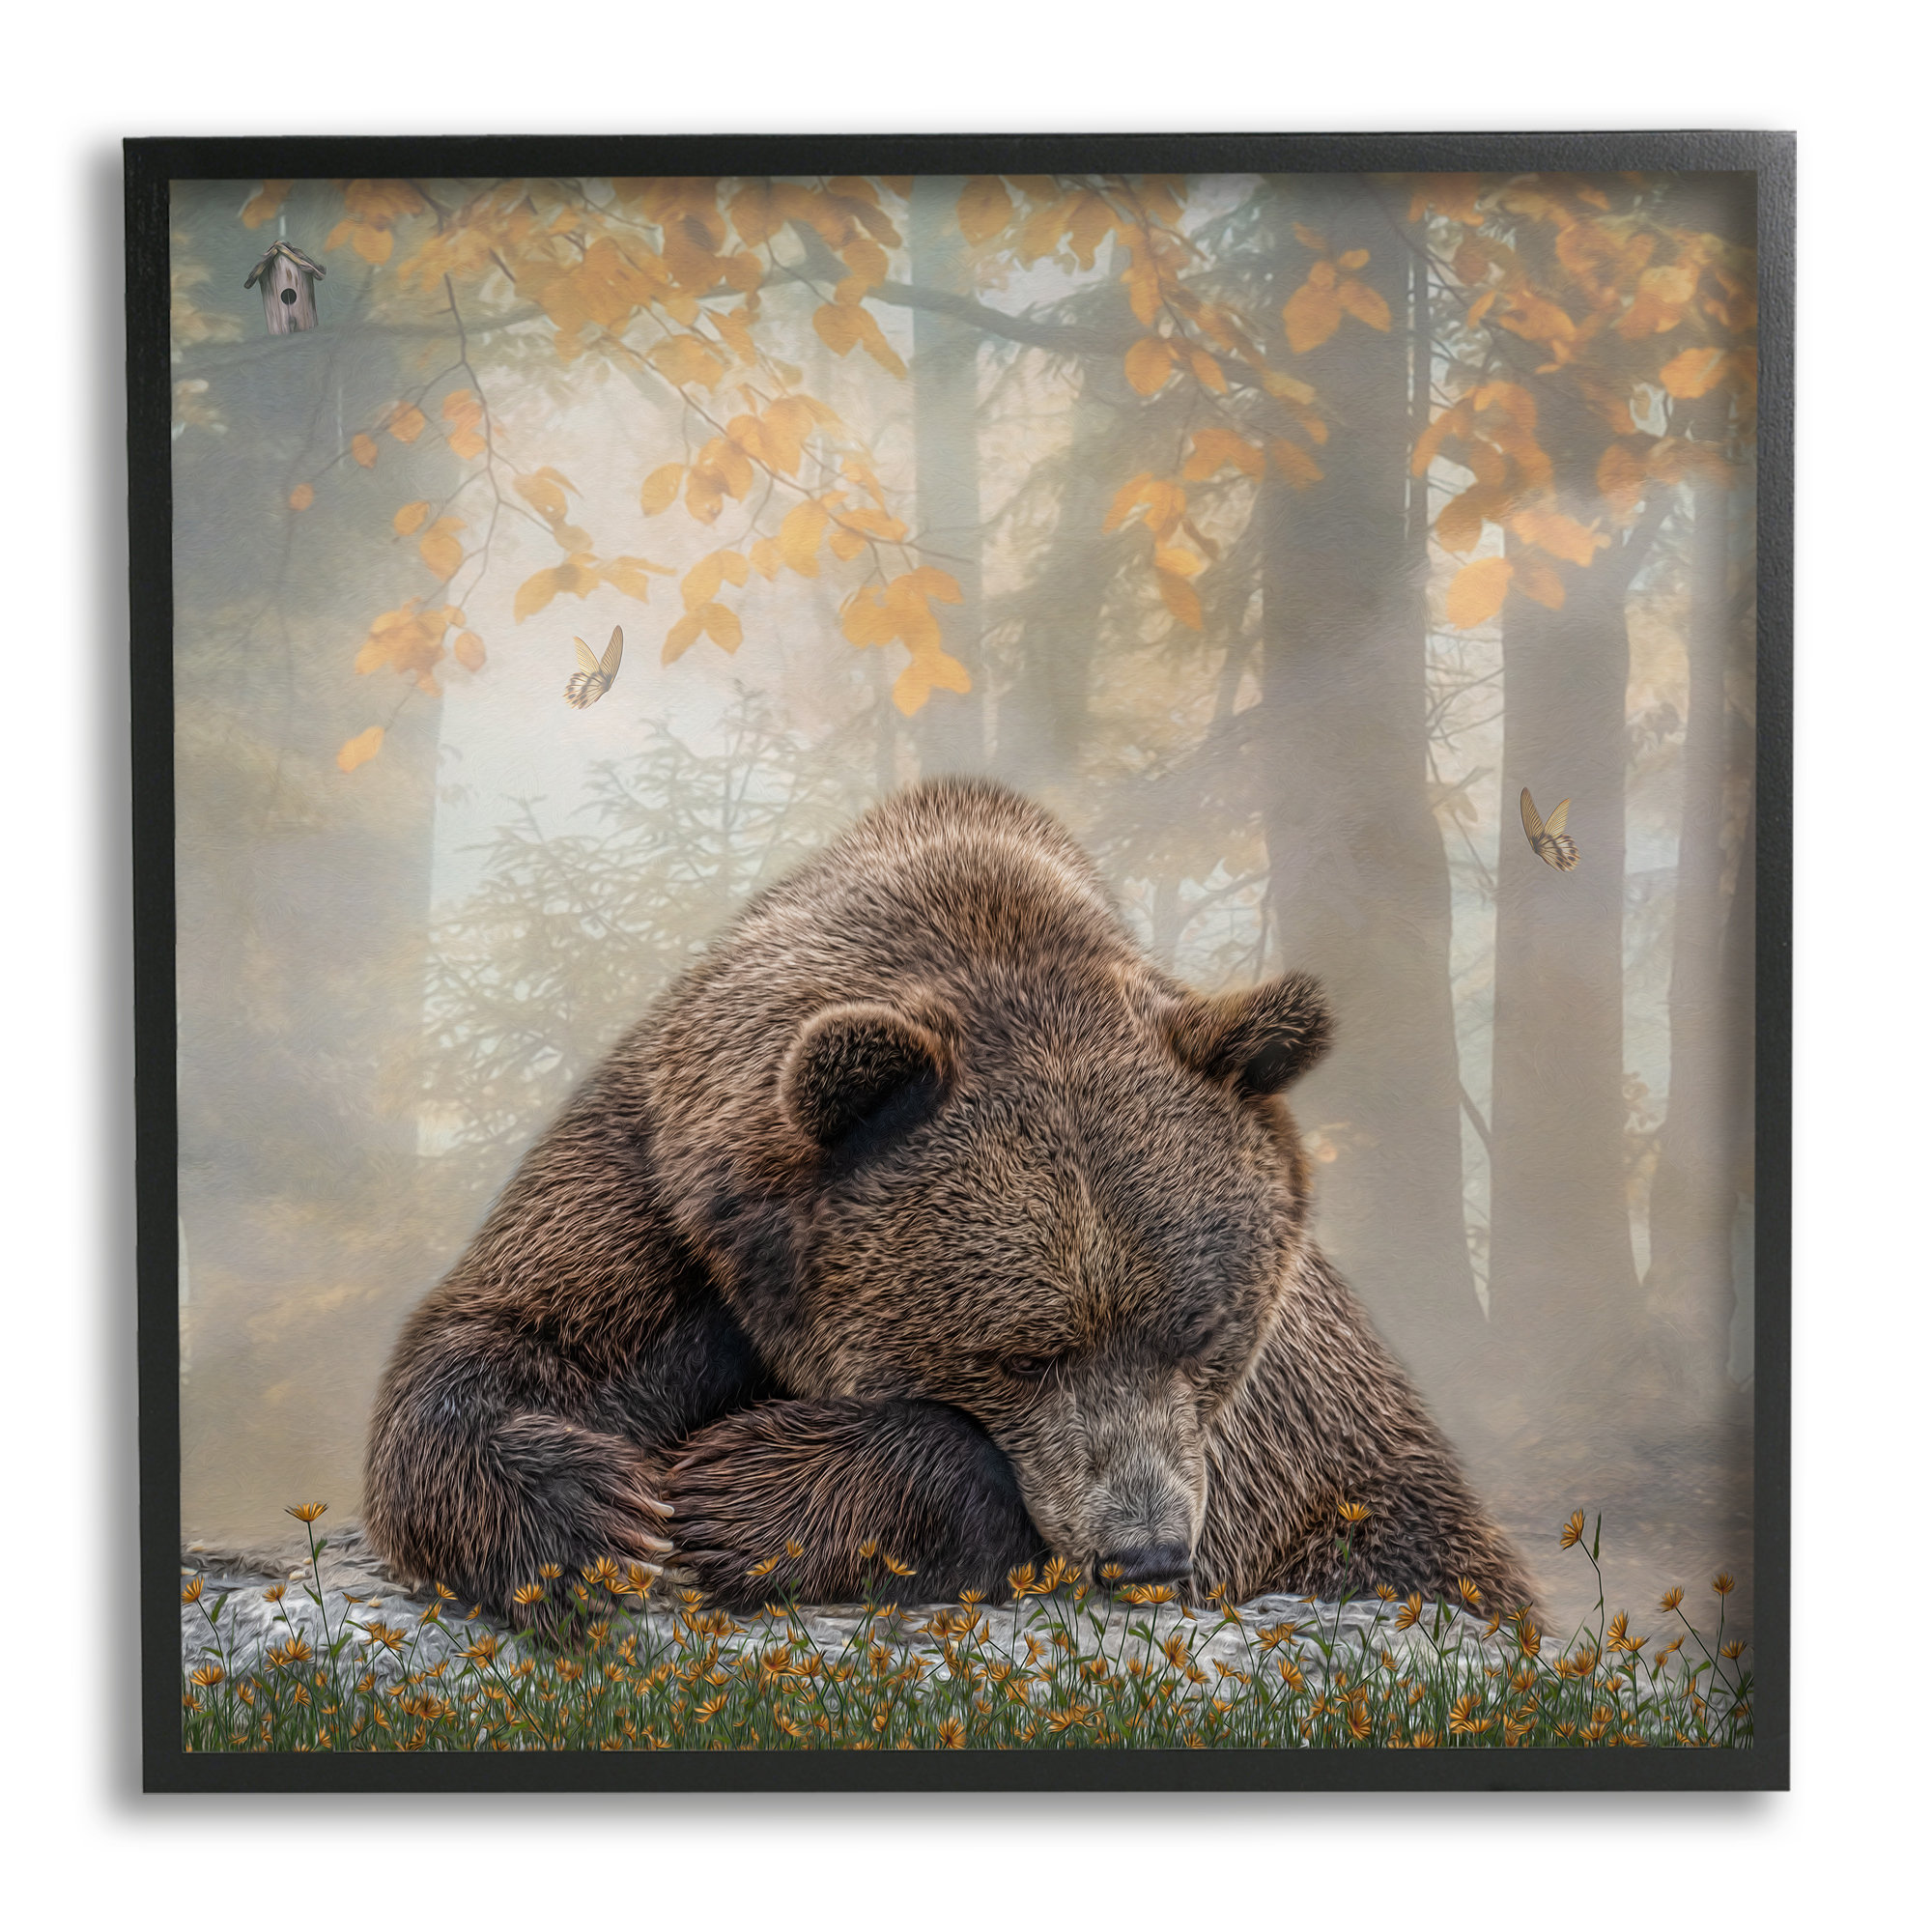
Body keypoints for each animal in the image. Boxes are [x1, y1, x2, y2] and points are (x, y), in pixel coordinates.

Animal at [364, 778, 1534, 1623]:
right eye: (1018, 1352)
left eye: (1203, 1330)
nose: (1146, 1550)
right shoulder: (667, 1187)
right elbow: (512, 1337)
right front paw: (590, 1519)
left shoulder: (1264, 1436)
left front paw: (732, 1499)